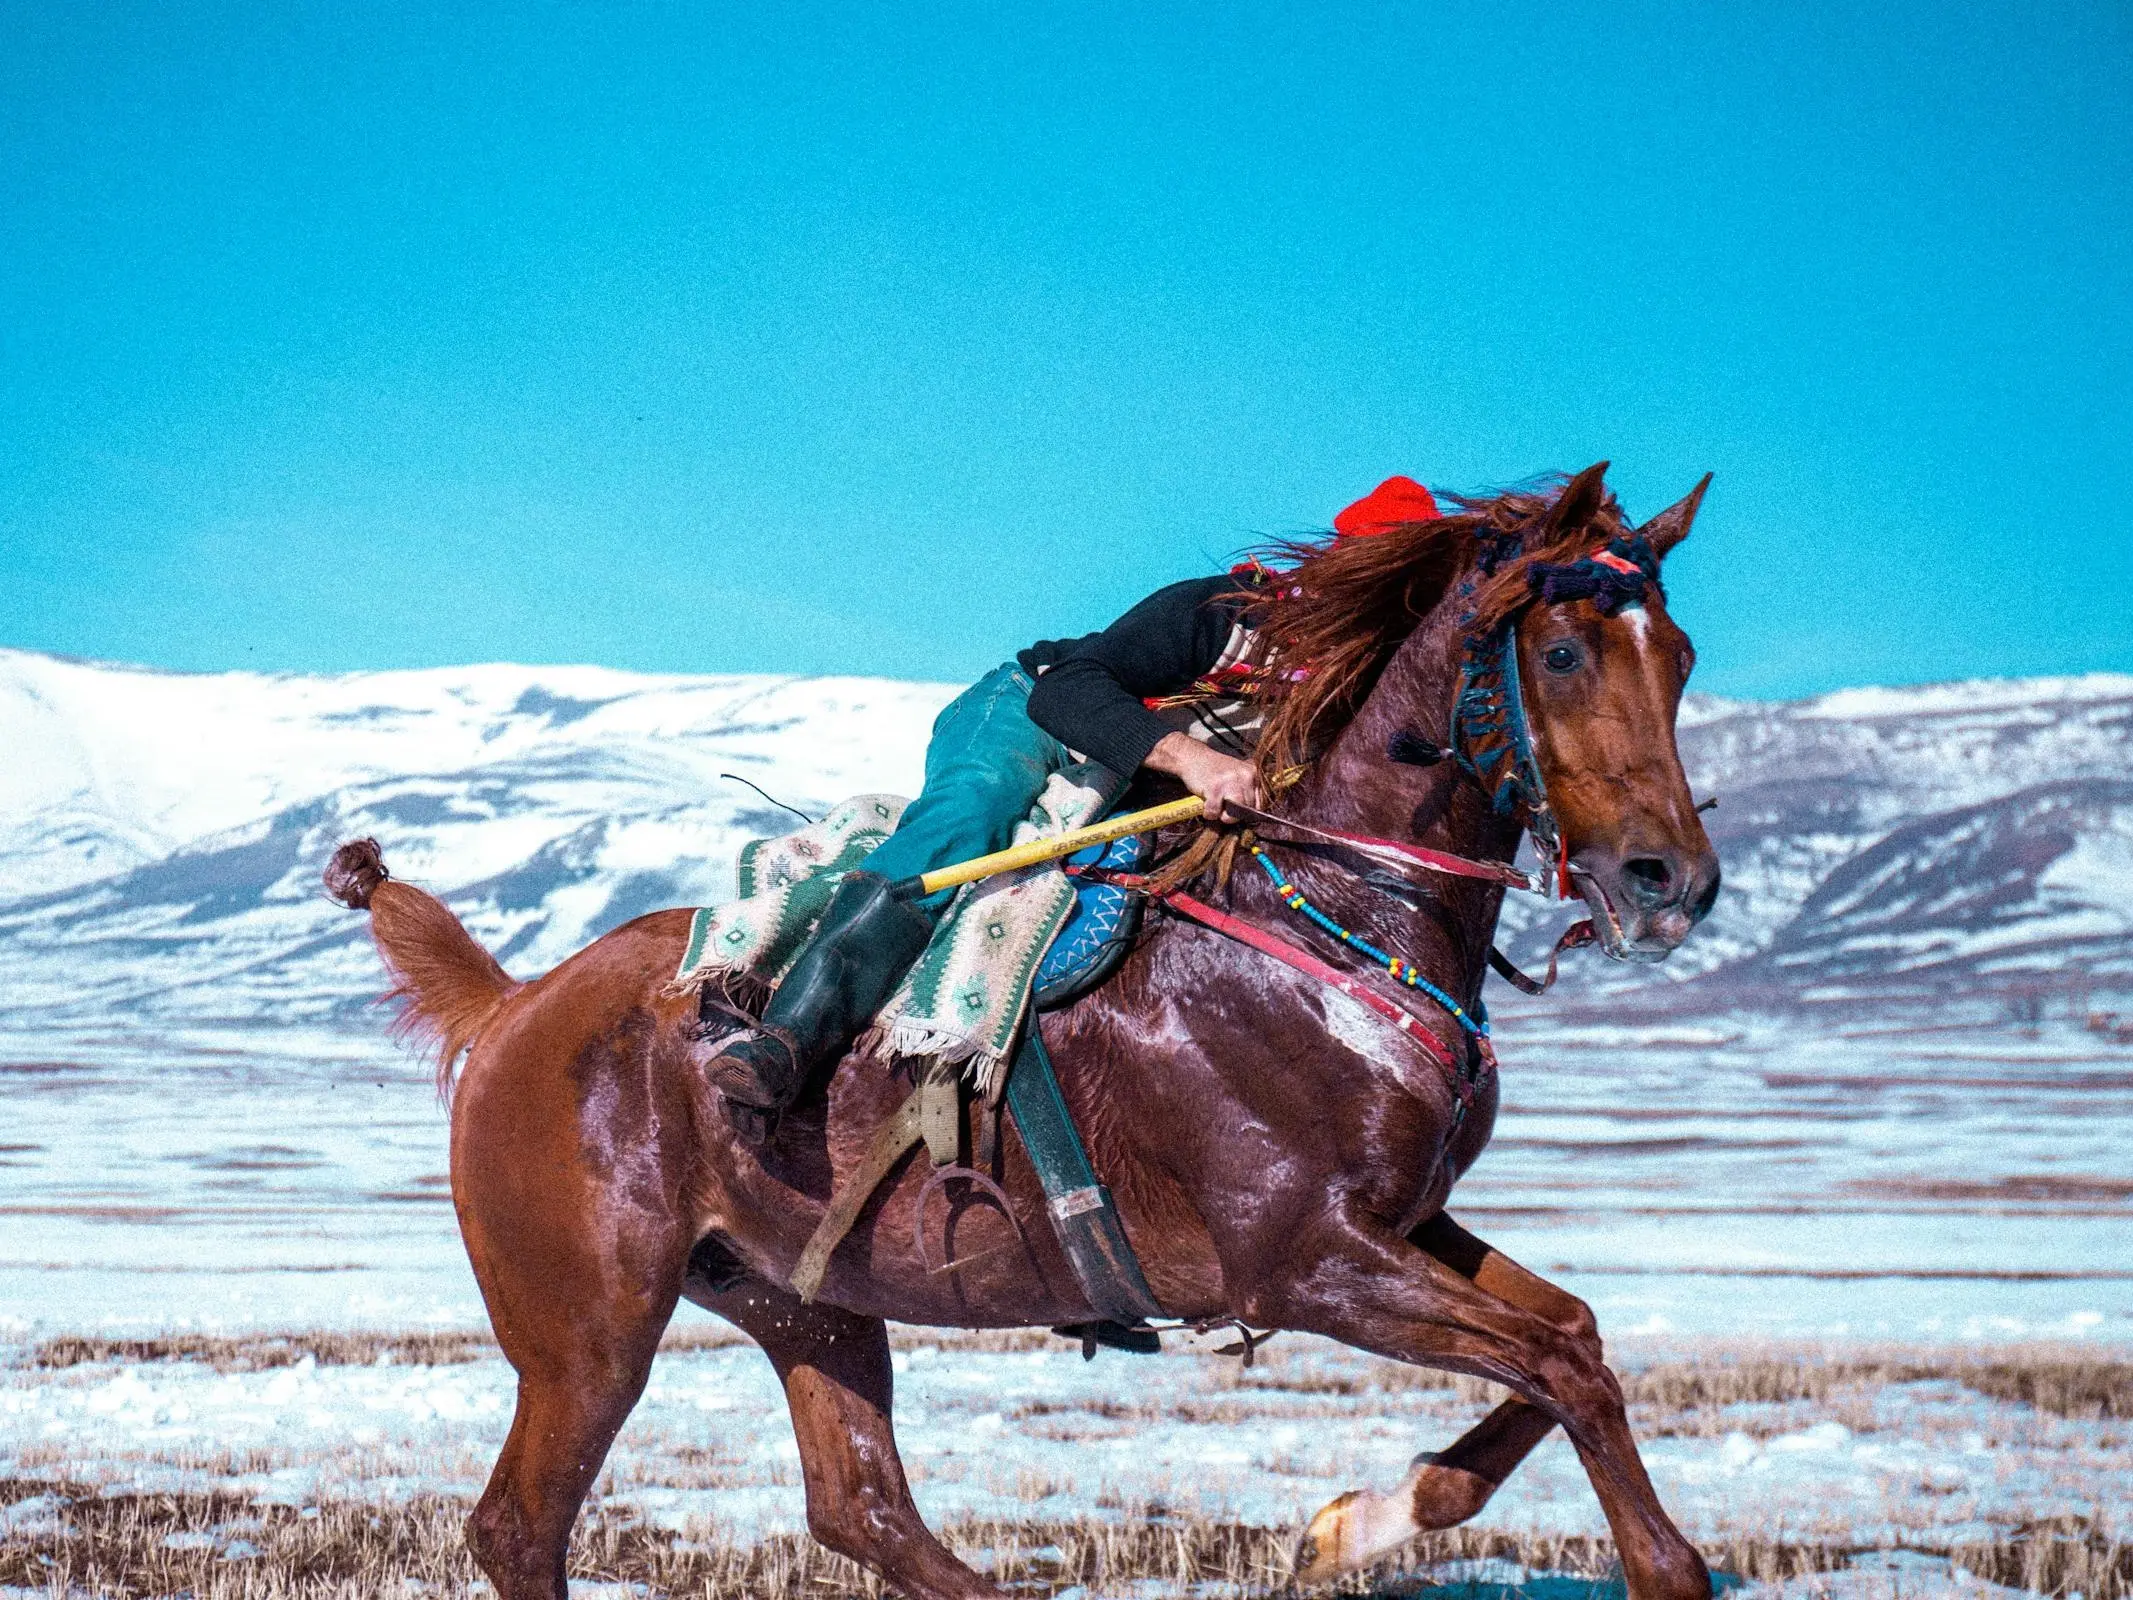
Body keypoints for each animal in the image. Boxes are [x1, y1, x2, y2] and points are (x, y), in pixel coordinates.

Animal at [323, 461, 1721, 1600]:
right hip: (589, 1324)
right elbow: (1561, 1360)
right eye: (1562, 654)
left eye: (1682, 653)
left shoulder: (1401, 1222)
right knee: (521, 1524)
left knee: (862, 1506)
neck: (1326, 918)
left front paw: (1351, 1524)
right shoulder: (1301, 1260)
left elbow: (1570, 1335)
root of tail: (516, 1004)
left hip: (802, 1294)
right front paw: (1663, 1566)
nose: (1671, 881)